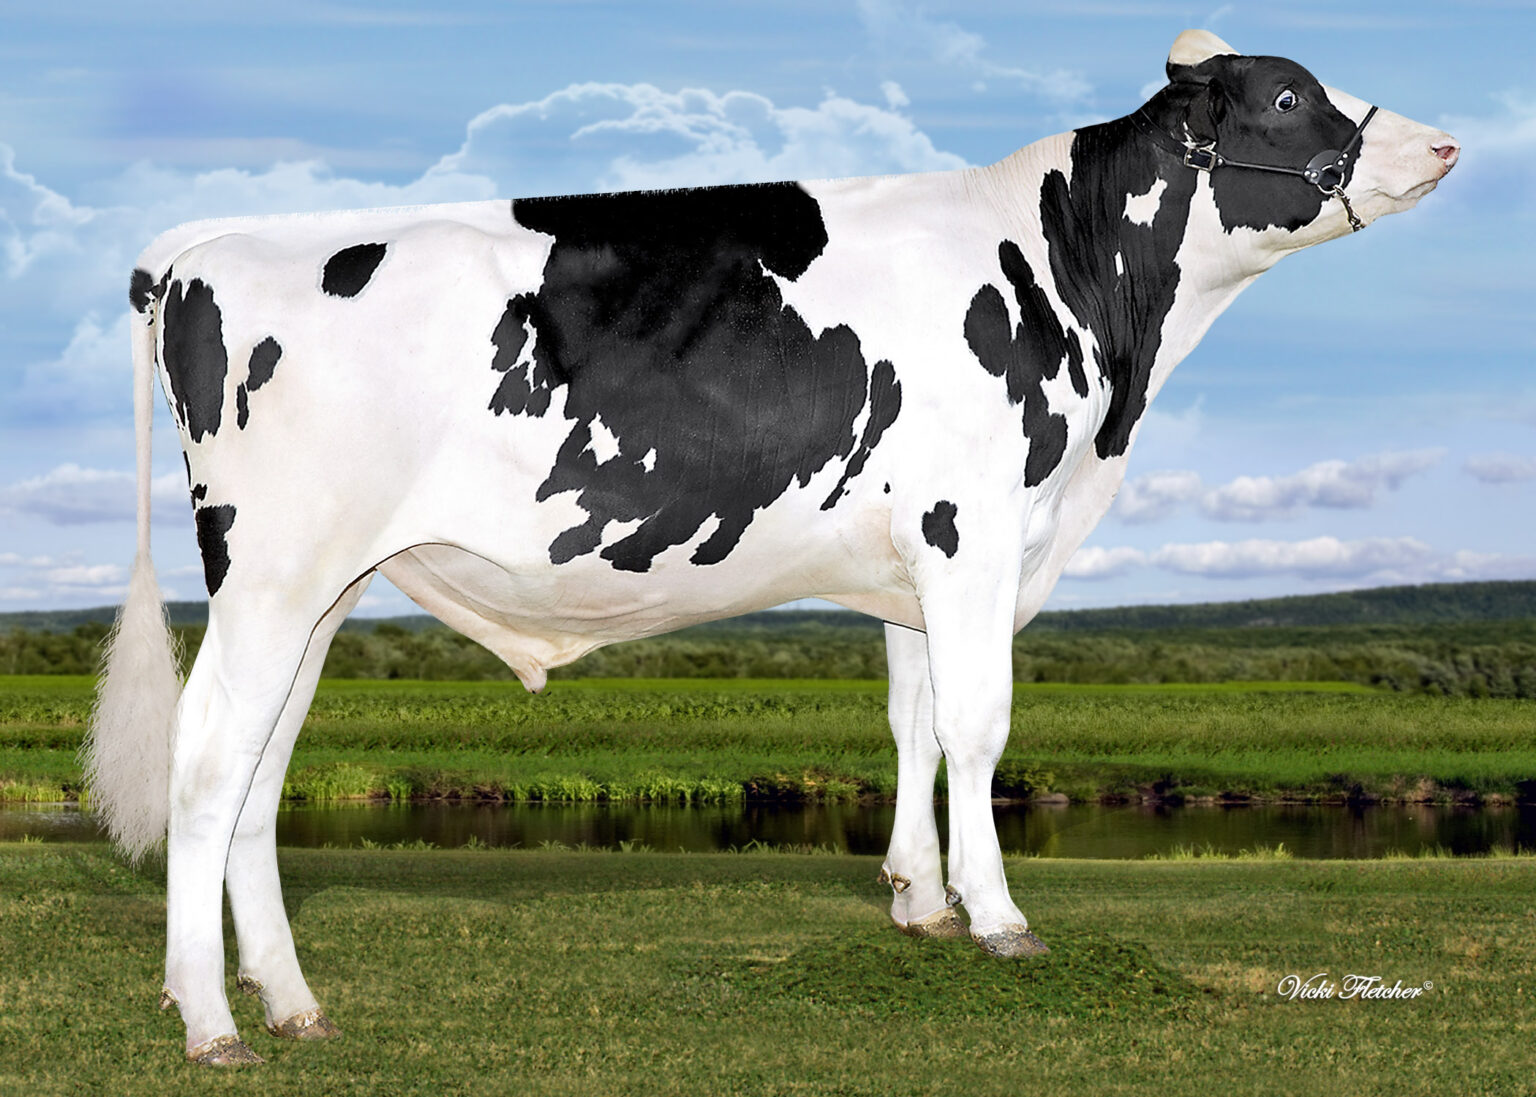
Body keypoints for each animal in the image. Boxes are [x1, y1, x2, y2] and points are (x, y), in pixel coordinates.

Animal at [85, 30, 1458, 1064]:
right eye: (1286, 95)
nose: (1444, 145)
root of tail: (201, 248)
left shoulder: (918, 559)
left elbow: (914, 719)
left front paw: (921, 903)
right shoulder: (974, 529)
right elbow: (980, 725)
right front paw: (1001, 915)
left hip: (321, 588)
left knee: (260, 769)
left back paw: (290, 1001)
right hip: (271, 570)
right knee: (206, 761)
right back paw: (211, 1020)